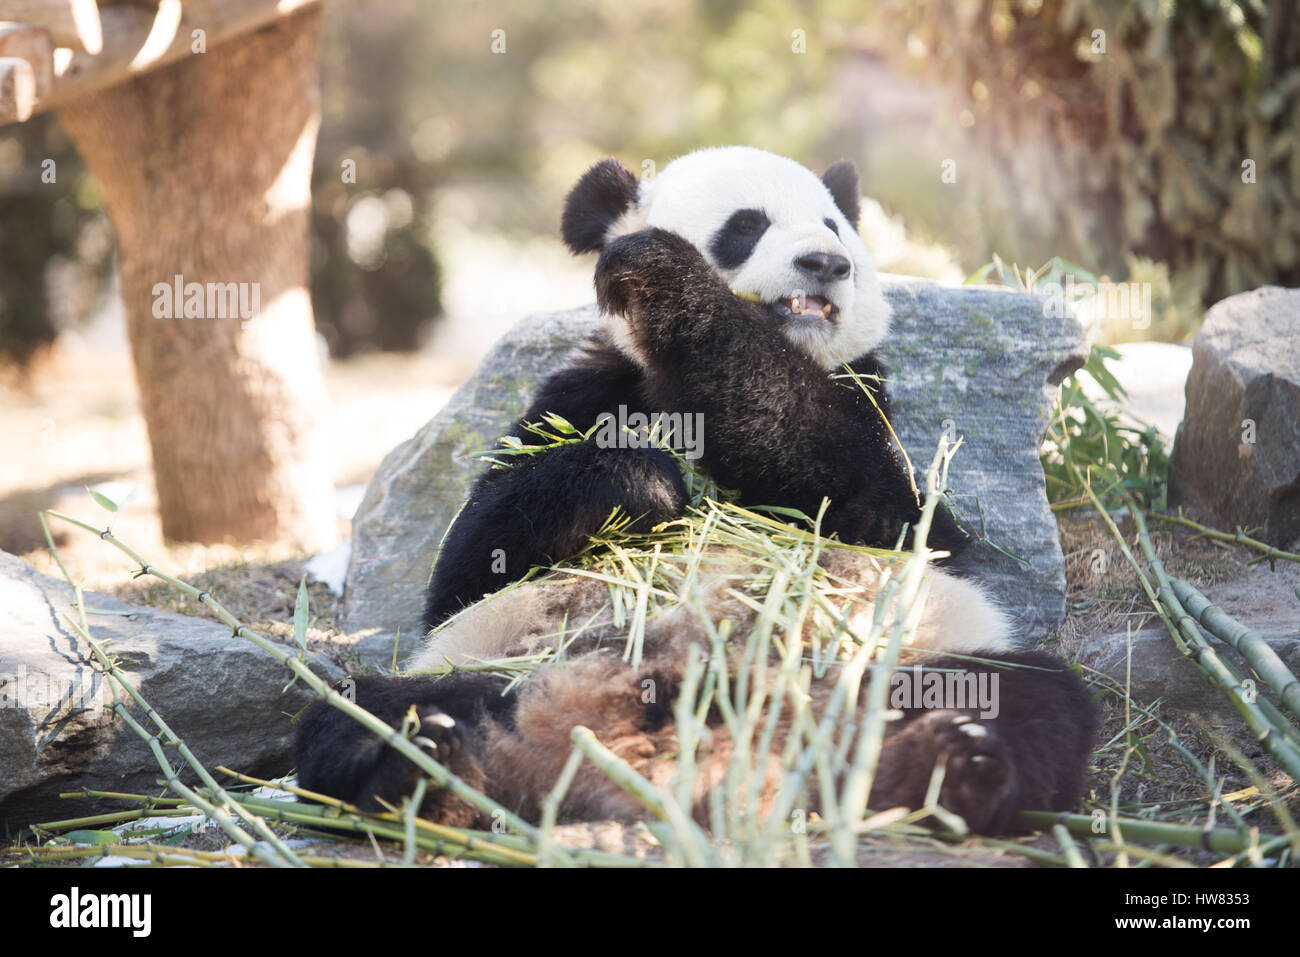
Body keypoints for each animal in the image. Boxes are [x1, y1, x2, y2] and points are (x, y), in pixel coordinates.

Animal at [295, 147, 1098, 836]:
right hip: (497, 665)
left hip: (903, 658)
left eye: (834, 225)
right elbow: (468, 565)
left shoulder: (872, 411)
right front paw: (639, 481)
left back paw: (948, 764)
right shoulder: (581, 393)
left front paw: (666, 280)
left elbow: (878, 498)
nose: (827, 263)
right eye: (747, 225)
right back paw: (425, 772)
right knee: (362, 709)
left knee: (1028, 699)